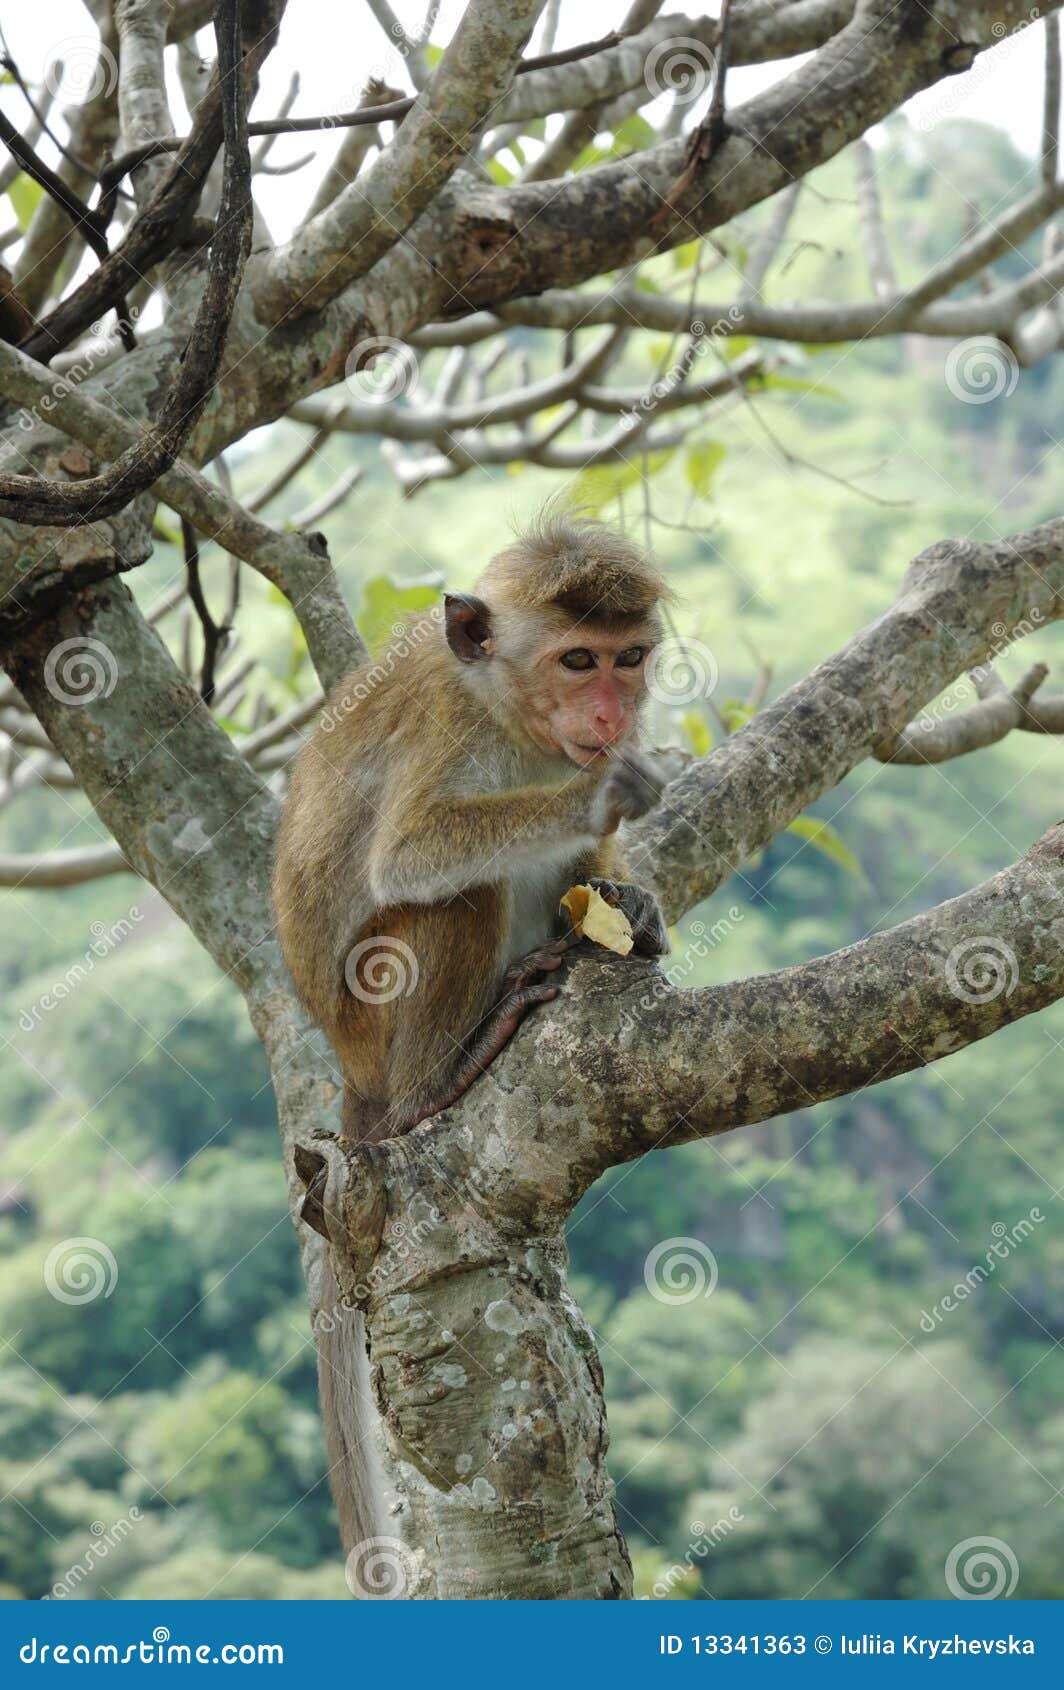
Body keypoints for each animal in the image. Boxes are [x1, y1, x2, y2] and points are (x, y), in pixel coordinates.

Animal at [273, 510, 672, 1154]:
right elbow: (405, 854)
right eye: (579, 661)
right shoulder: (444, 718)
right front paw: (597, 796)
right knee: (461, 893)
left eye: (630, 656)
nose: (613, 715)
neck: (507, 712)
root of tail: (349, 1066)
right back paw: (435, 1084)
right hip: (368, 1021)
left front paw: (632, 904)